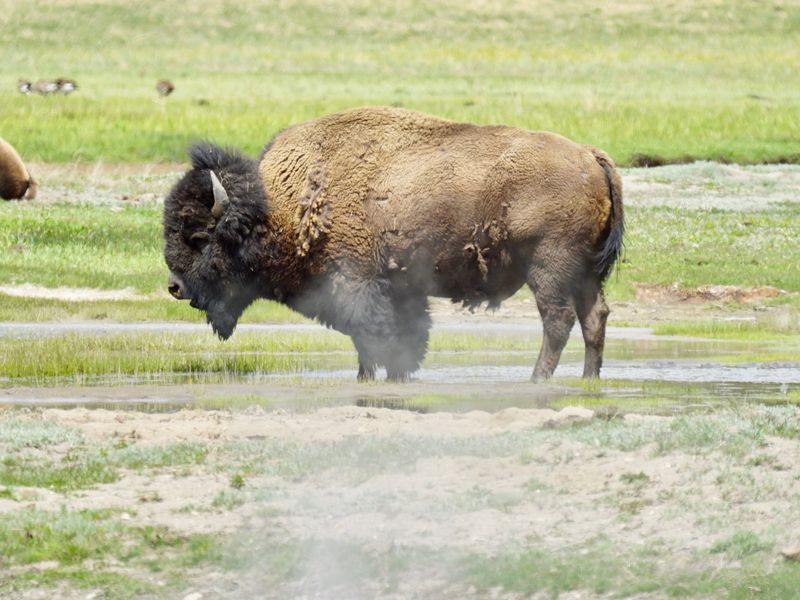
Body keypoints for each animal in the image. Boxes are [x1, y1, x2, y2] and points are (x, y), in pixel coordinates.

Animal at [164, 107, 623, 381]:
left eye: (198, 237)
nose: (174, 287)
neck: (282, 204)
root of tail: (590, 156)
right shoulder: (398, 290)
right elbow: (398, 336)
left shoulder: (356, 286)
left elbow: (372, 336)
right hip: (585, 273)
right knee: (594, 317)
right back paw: (589, 379)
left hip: (549, 268)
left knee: (558, 321)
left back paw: (537, 378)